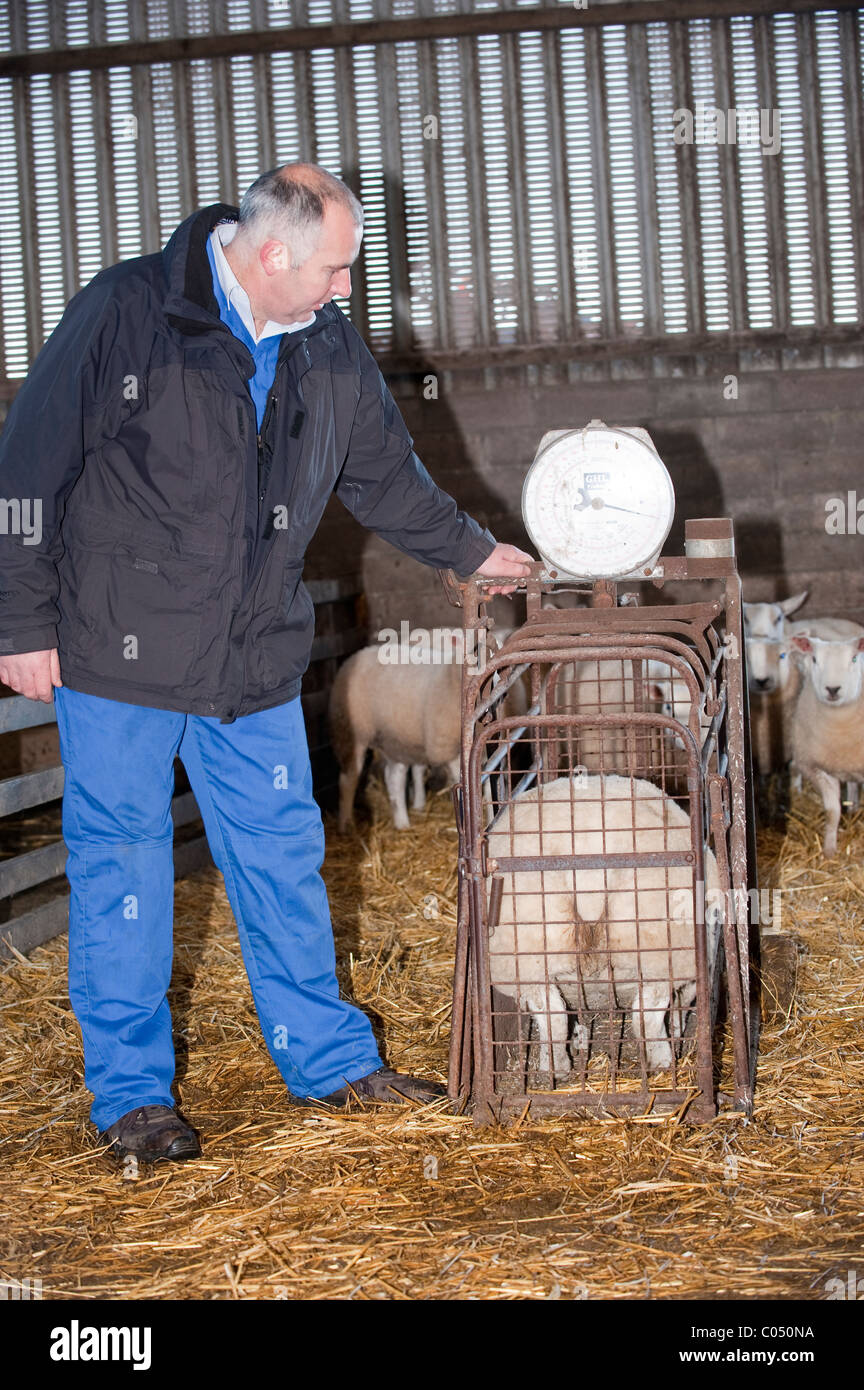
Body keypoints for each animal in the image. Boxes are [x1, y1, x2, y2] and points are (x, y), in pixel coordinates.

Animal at [486, 773, 722, 1082]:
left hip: (528, 949)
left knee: (552, 1016)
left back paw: (556, 1068)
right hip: (659, 946)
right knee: (644, 1015)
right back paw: (661, 1062)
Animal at [790, 631, 864, 857]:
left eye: (854, 658)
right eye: (814, 659)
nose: (832, 689)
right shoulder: (815, 769)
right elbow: (832, 812)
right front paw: (829, 852)